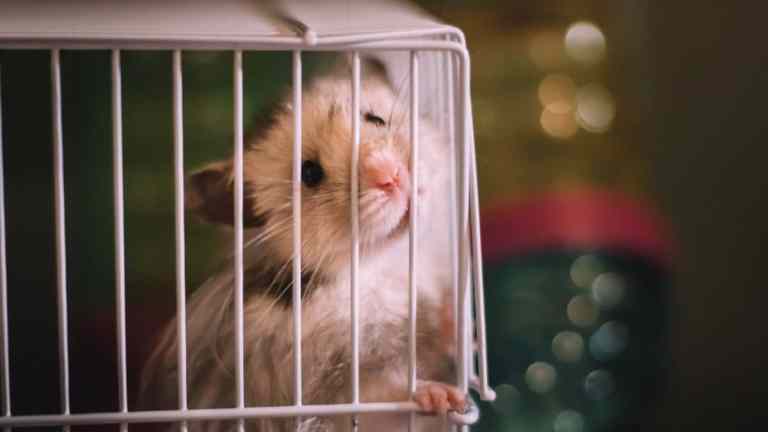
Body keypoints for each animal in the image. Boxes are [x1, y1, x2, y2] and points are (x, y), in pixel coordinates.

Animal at [140, 58, 464, 432]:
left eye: (376, 119)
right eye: (309, 173)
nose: (391, 175)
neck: (381, 262)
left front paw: (459, 328)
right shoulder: (320, 381)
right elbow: (383, 391)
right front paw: (445, 397)